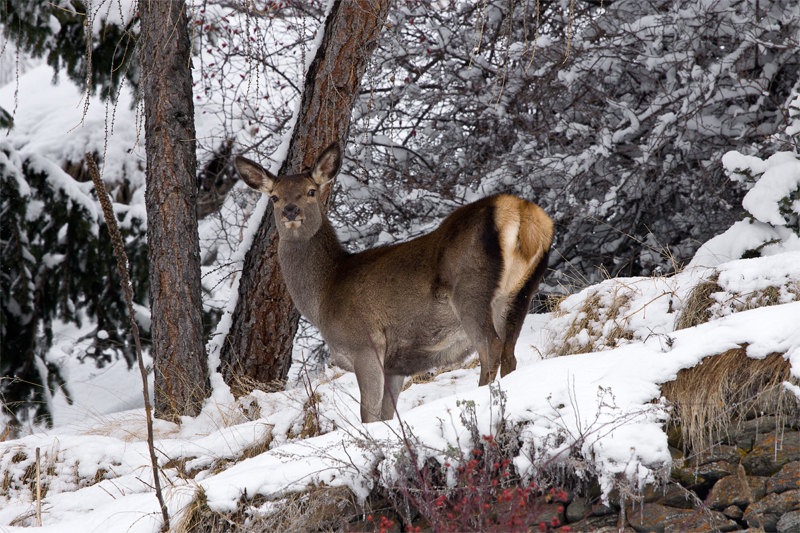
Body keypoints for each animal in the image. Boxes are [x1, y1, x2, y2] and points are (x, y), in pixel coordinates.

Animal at [235, 142, 553, 423]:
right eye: (274, 196)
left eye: (311, 191)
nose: (290, 211)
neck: (324, 295)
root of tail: (523, 214)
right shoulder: (395, 365)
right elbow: (388, 413)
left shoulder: (365, 343)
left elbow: (368, 414)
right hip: (522, 292)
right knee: (510, 352)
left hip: (470, 291)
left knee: (492, 348)